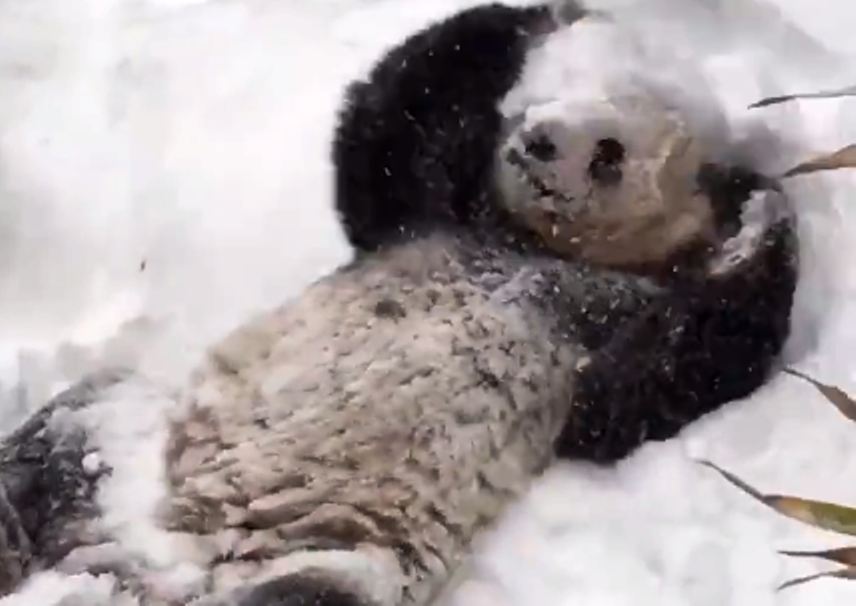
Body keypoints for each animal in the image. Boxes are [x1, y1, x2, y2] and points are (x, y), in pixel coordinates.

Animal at [0, 2, 797, 606]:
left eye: (608, 153)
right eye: (549, 102)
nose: (538, 141)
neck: (536, 248)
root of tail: (145, 569)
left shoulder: (609, 318)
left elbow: (656, 387)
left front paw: (760, 213)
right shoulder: (432, 219)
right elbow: (387, 138)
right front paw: (536, 25)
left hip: (342, 554)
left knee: (306, 592)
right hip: (123, 441)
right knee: (45, 459)